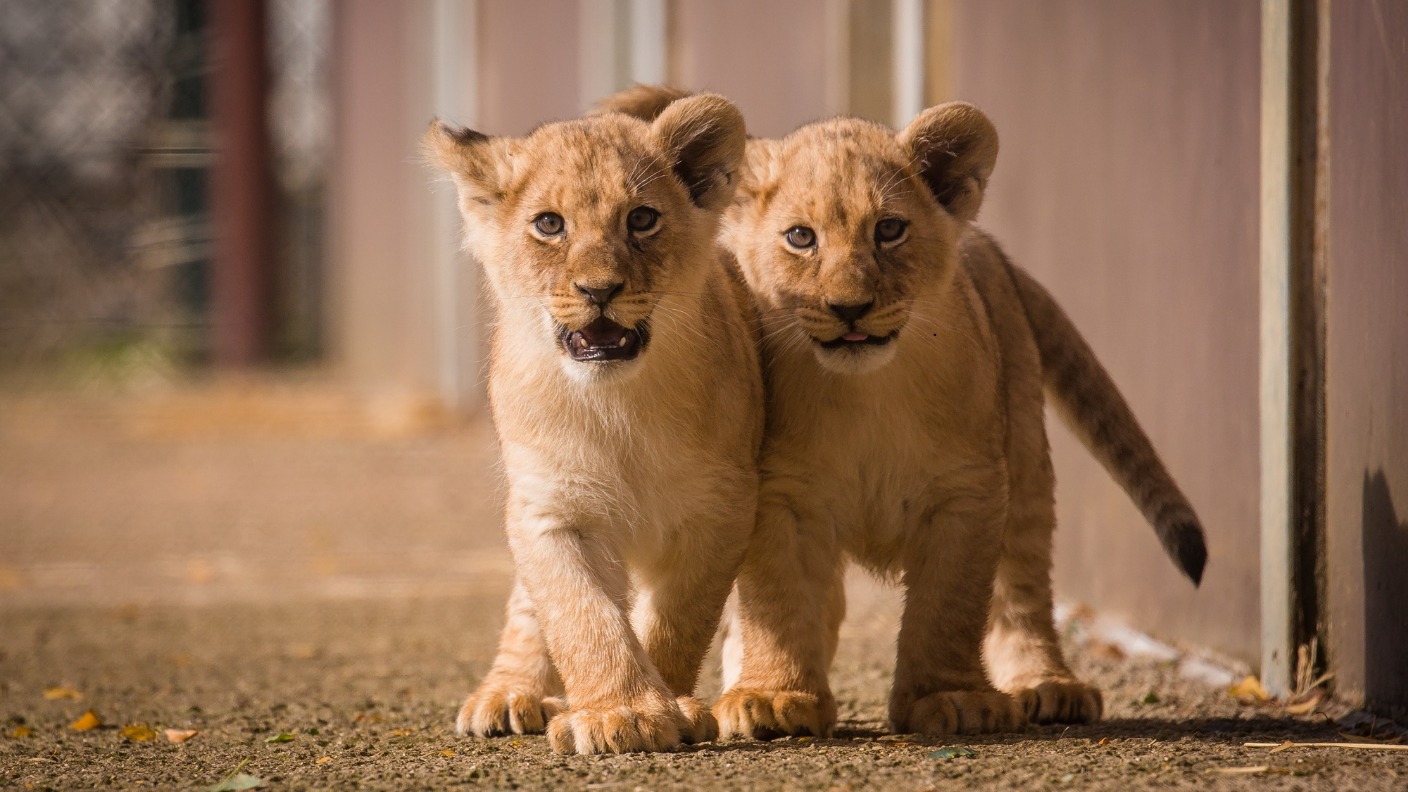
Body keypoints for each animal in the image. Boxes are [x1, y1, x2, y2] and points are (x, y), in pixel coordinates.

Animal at [422, 94, 764, 754]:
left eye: (642, 219)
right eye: (549, 224)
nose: (598, 290)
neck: (616, 407)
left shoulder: (722, 509)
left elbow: (675, 622)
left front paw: (670, 708)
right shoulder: (550, 508)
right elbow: (581, 615)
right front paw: (619, 711)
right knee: (528, 609)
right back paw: (508, 696)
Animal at [597, 86, 1207, 737]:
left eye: (889, 230)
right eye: (801, 238)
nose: (850, 308)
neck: (867, 394)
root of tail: (986, 243)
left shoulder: (967, 491)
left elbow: (949, 606)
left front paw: (950, 697)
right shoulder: (780, 495)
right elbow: (779, 599)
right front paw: (774, 695)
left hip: (1024, 459)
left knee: (1022, 590)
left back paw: (1048, 685)